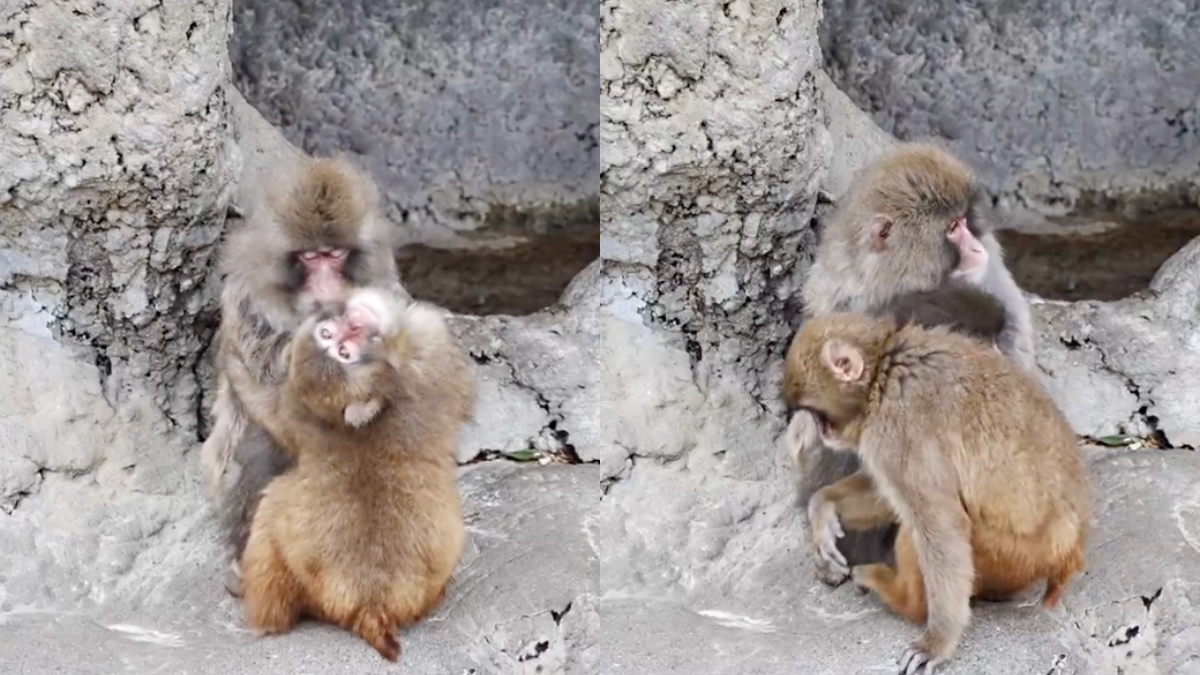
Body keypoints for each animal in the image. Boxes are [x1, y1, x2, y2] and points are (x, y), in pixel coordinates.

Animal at [238, 287, 475, 662]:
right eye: (342, 351)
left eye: (334, 338)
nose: (352, 327)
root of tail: (371, 603)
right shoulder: (430, 346)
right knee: (272, 507)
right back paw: (266, 621)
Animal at [784, 312, 1090, 674]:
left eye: (816, 412)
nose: (820, 431)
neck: (882, 375)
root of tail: (1069, 549)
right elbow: (887, 496)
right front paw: (823, 509)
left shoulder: (897, 430)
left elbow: (941, 525)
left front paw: (938, 642)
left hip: (1010, 553)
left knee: (924, 529)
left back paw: (903, 599)